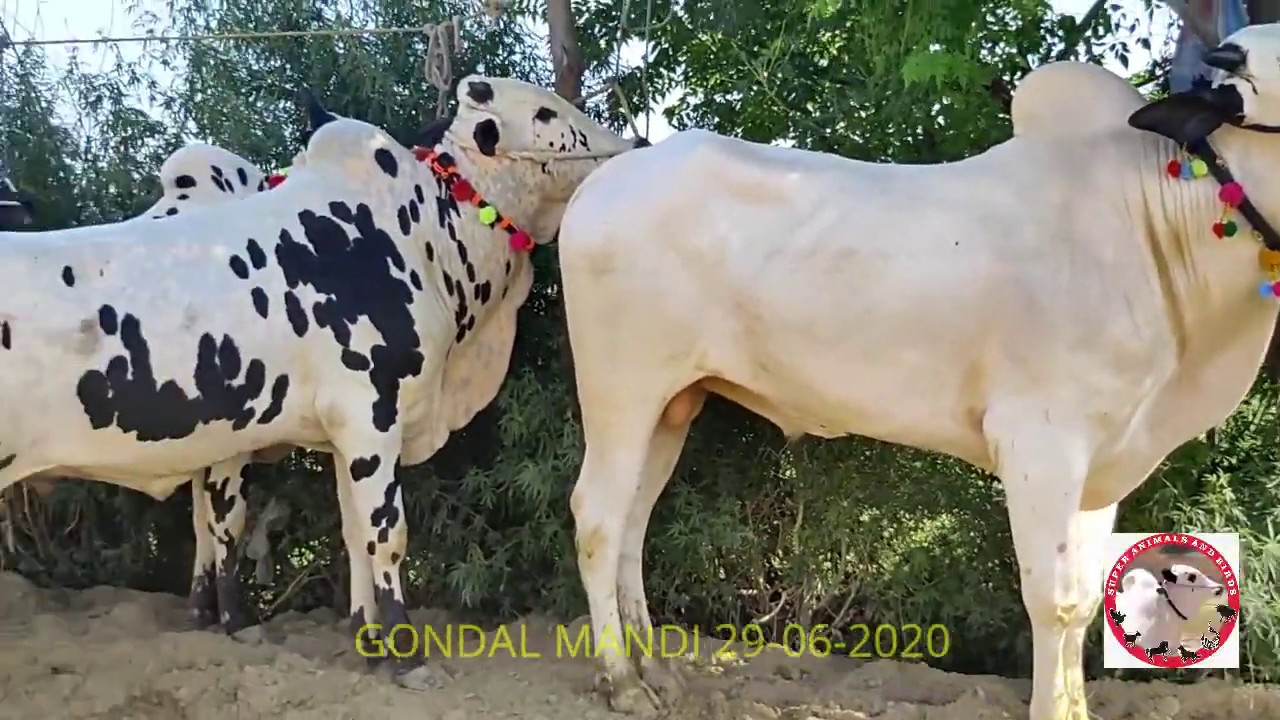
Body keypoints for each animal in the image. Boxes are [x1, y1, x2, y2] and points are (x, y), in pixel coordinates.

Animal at [0, 75, 641, 686]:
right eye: (545, 112)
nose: (631, 144)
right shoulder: (368, 415)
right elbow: (383, 535)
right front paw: (405, 655)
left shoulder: (339, 435)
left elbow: (351, 532)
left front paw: (368, 640)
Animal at [554, 22, 1280, 720]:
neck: (1153, 224)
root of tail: (605, 179)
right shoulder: (1040, 442)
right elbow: (1053, 600)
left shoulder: (1104, 465)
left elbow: (1085, 604)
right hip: (622, 387)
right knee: (599, 515)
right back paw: (622, 680)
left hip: (676, 402)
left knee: (634, 520)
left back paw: (655, 668)